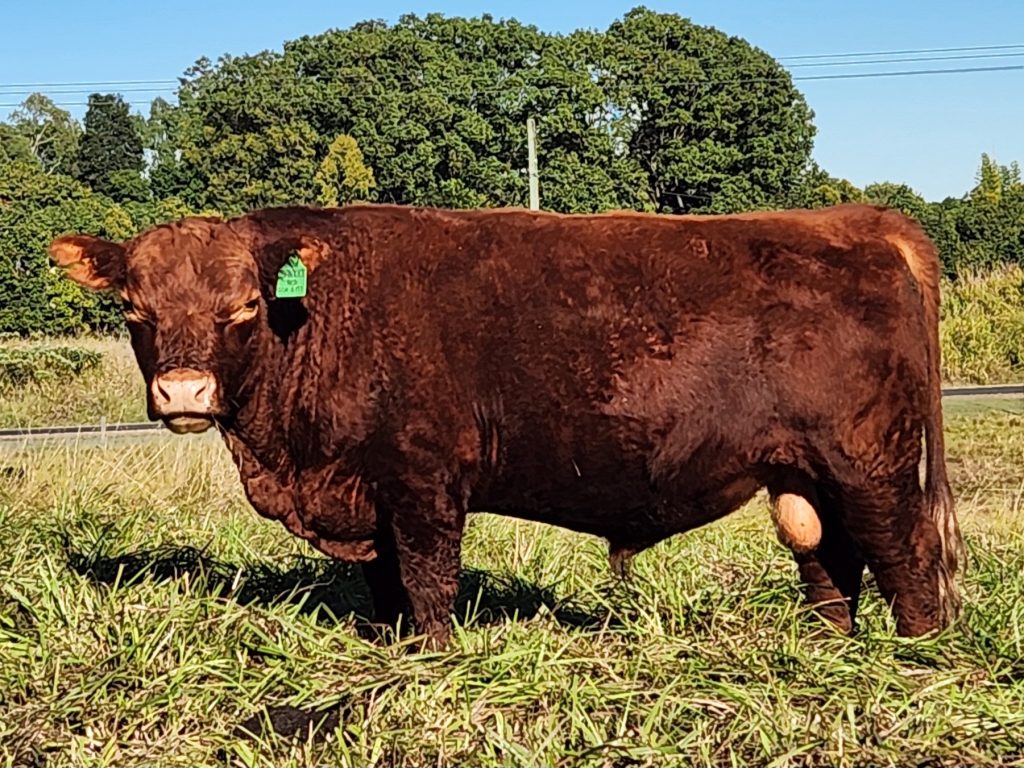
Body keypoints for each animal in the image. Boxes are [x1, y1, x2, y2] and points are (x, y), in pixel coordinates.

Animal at [50, 202, 964, 646]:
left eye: (241, 308)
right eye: (134, 309)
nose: (184, 392)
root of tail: (849, 219)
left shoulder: (420, 481)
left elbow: (427, 585)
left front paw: (434, 664)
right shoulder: (370, 494)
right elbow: (386, 590)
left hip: (870, 465)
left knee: (907, 559)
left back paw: (914, 663)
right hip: (805, 472)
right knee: (829, 562)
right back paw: (827, 655)